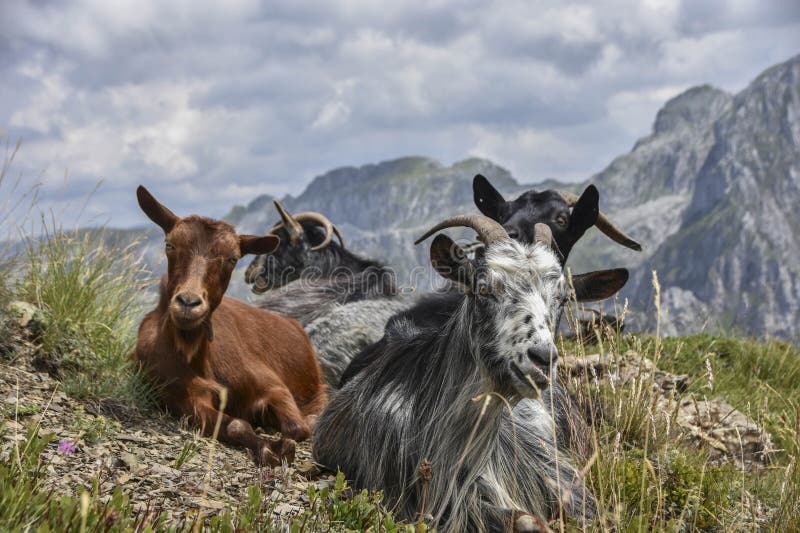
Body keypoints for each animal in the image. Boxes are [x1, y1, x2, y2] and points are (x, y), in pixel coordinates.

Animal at [132, 186, 328, 465]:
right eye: (170, 245)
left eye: (232, 259)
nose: (188, 302)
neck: (197, 356)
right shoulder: (183, 397)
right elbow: (235, 424)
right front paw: (268, 448)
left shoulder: (272, 383)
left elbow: (297, 427)